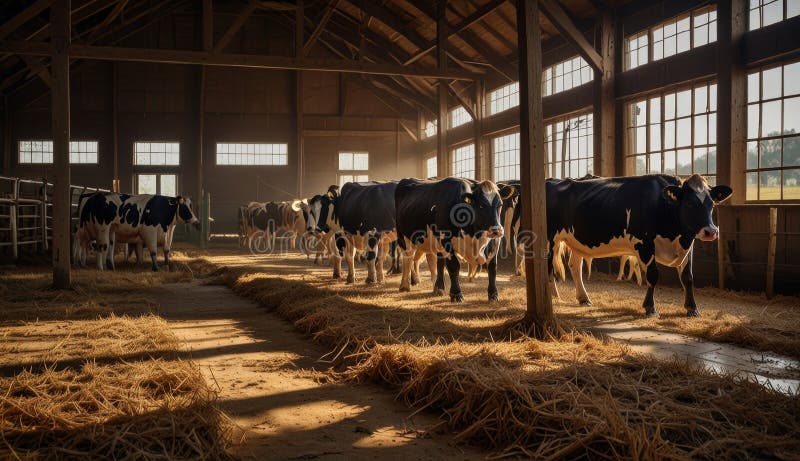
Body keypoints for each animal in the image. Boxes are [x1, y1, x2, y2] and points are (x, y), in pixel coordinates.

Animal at [545, 174, 732, 317]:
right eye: (690, 203)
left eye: (711, 204)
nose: (711, 231)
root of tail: (551, 180)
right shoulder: (644, 244)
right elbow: (652, 275)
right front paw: (650, 308)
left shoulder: (687, 244)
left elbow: (688, 277)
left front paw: (692, 309)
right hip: (549, 240)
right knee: (548, 267)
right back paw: (553, 296)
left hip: (577, 240)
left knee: (575, 266)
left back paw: (584, 298)